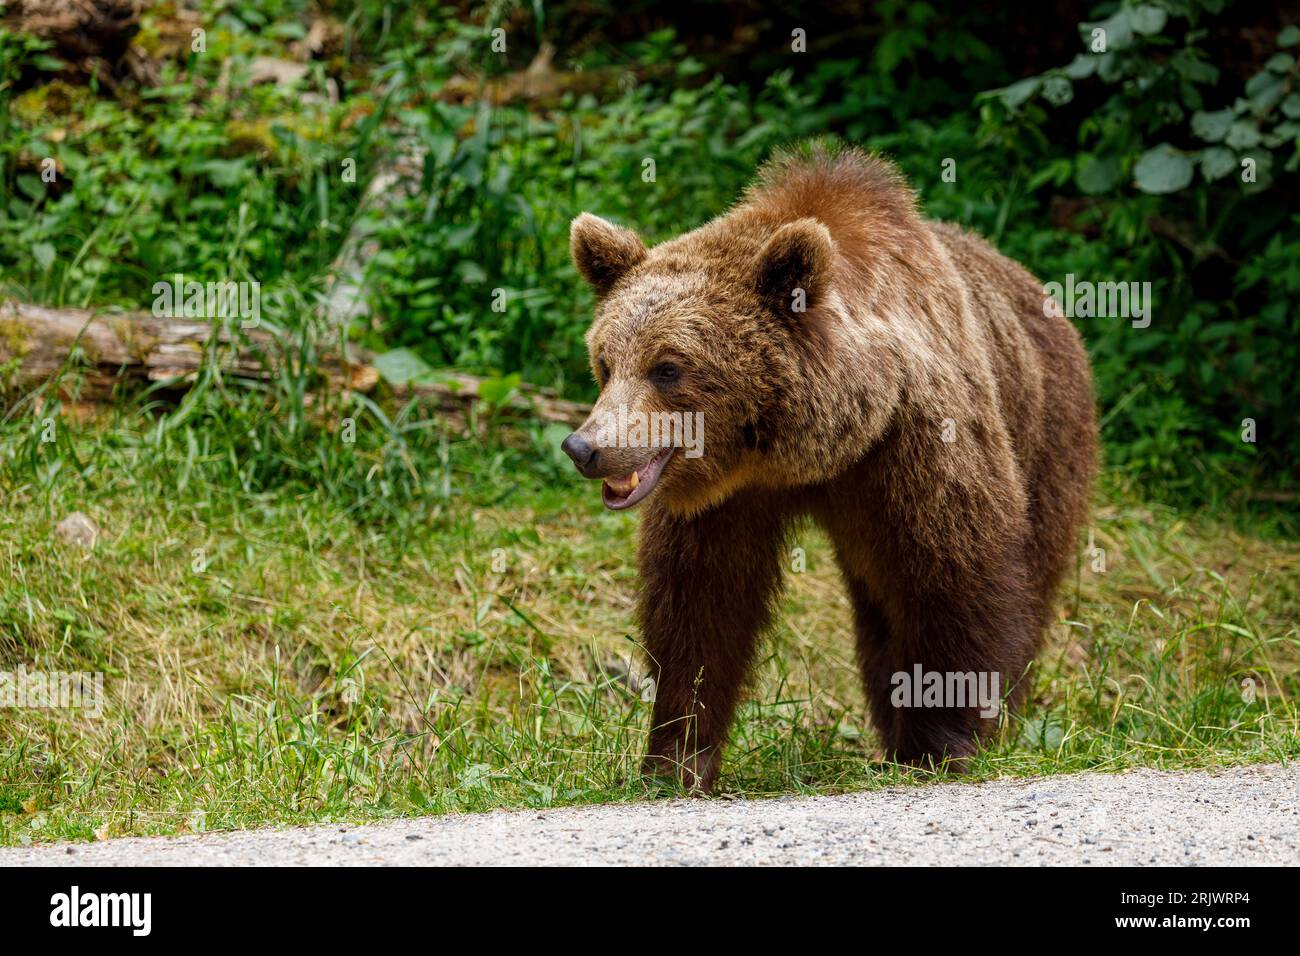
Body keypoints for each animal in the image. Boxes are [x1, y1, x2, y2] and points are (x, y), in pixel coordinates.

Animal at [562, 142, 1097, 793]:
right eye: (605, 361)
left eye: (668, 367)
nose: (586, 447)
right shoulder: (726, 500)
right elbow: (702, 606)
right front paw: (676, 759)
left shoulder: (915, 445)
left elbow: (955, 578)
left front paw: (942, 746)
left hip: (1047, 435)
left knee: (1027, 579)